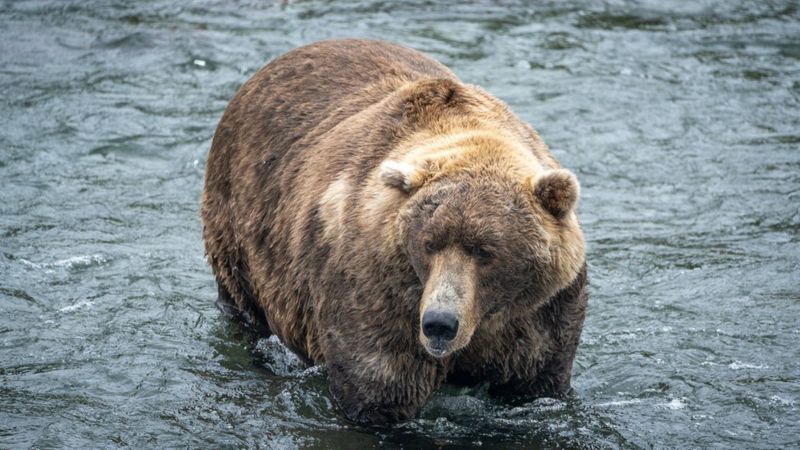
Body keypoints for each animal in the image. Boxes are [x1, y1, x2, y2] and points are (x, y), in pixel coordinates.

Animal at [201, 39, 587, 425]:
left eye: (485, 251)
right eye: (429, 244)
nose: (439, 322)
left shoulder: (540, 311)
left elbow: (535, 382)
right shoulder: (378, 292)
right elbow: (378, 389)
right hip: (238, 224)